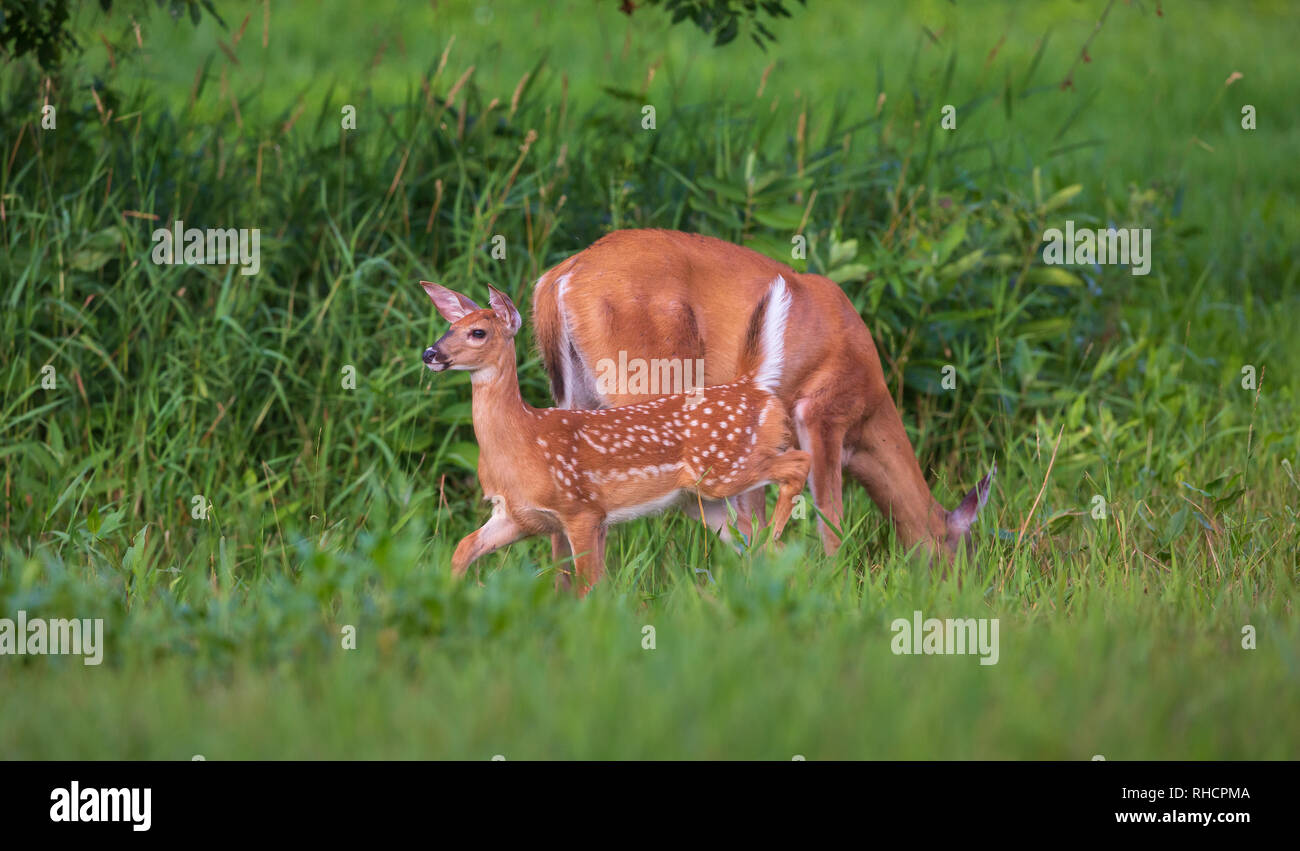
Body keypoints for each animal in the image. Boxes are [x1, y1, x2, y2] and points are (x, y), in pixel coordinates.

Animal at [420, 275, 811, 596]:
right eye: (450, 327)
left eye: (478, 333)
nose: (430, 353)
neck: (523, 437)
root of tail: (752, 387)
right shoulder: (516, 515)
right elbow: (463, 548)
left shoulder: (582, 509)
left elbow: (588, 584)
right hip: (705, 500)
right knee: (765, 547)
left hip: (723, 469)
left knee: (798, 464)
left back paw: (779, 532)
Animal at [531, 228, 995, 562]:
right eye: (965, 554)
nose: (963, 591)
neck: (869, 417)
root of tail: (559, 278)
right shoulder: (821, 411)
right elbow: (830, 518)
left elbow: (752, 511)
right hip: (649, 390)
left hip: (578, 396)